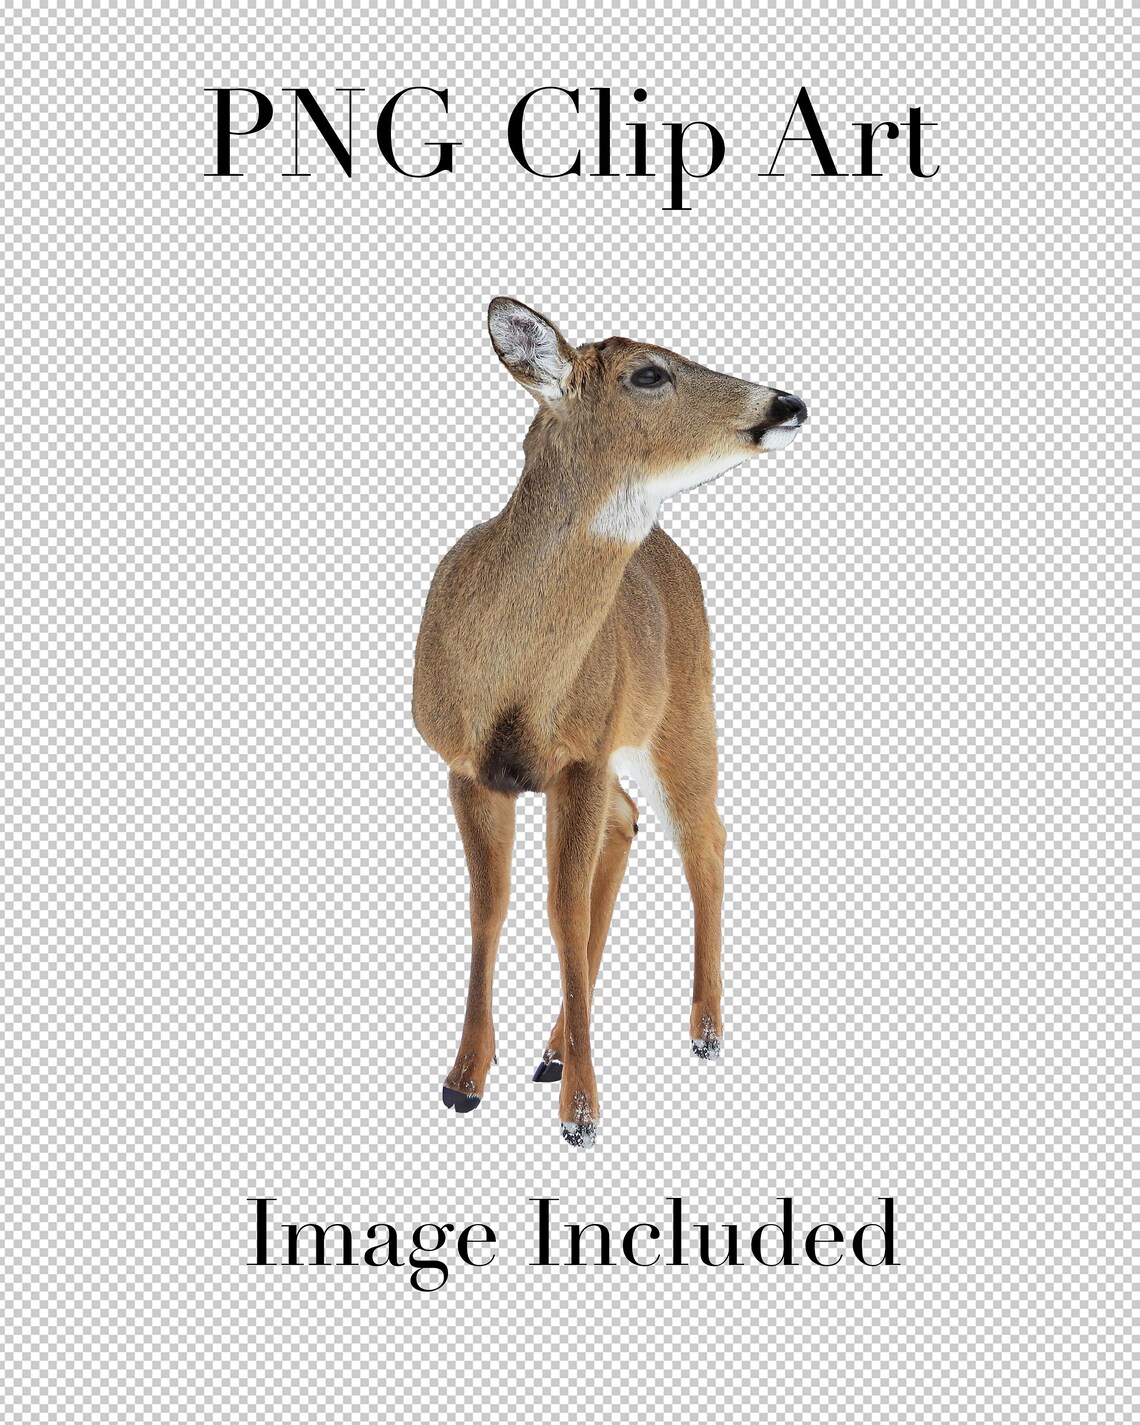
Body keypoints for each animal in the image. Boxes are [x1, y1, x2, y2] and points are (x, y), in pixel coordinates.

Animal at [412, 298, 807, 1146]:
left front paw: (582, 1115)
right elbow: (490, 910)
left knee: (704, 833)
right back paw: (555, 1048)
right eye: (648, 373)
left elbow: (560, 914)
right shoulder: (467, 765)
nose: (788, 403)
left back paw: (704, 1030)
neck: (511, 681)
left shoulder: (579, 753)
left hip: (683, 711)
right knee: (632, 824)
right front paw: (464, 1081)